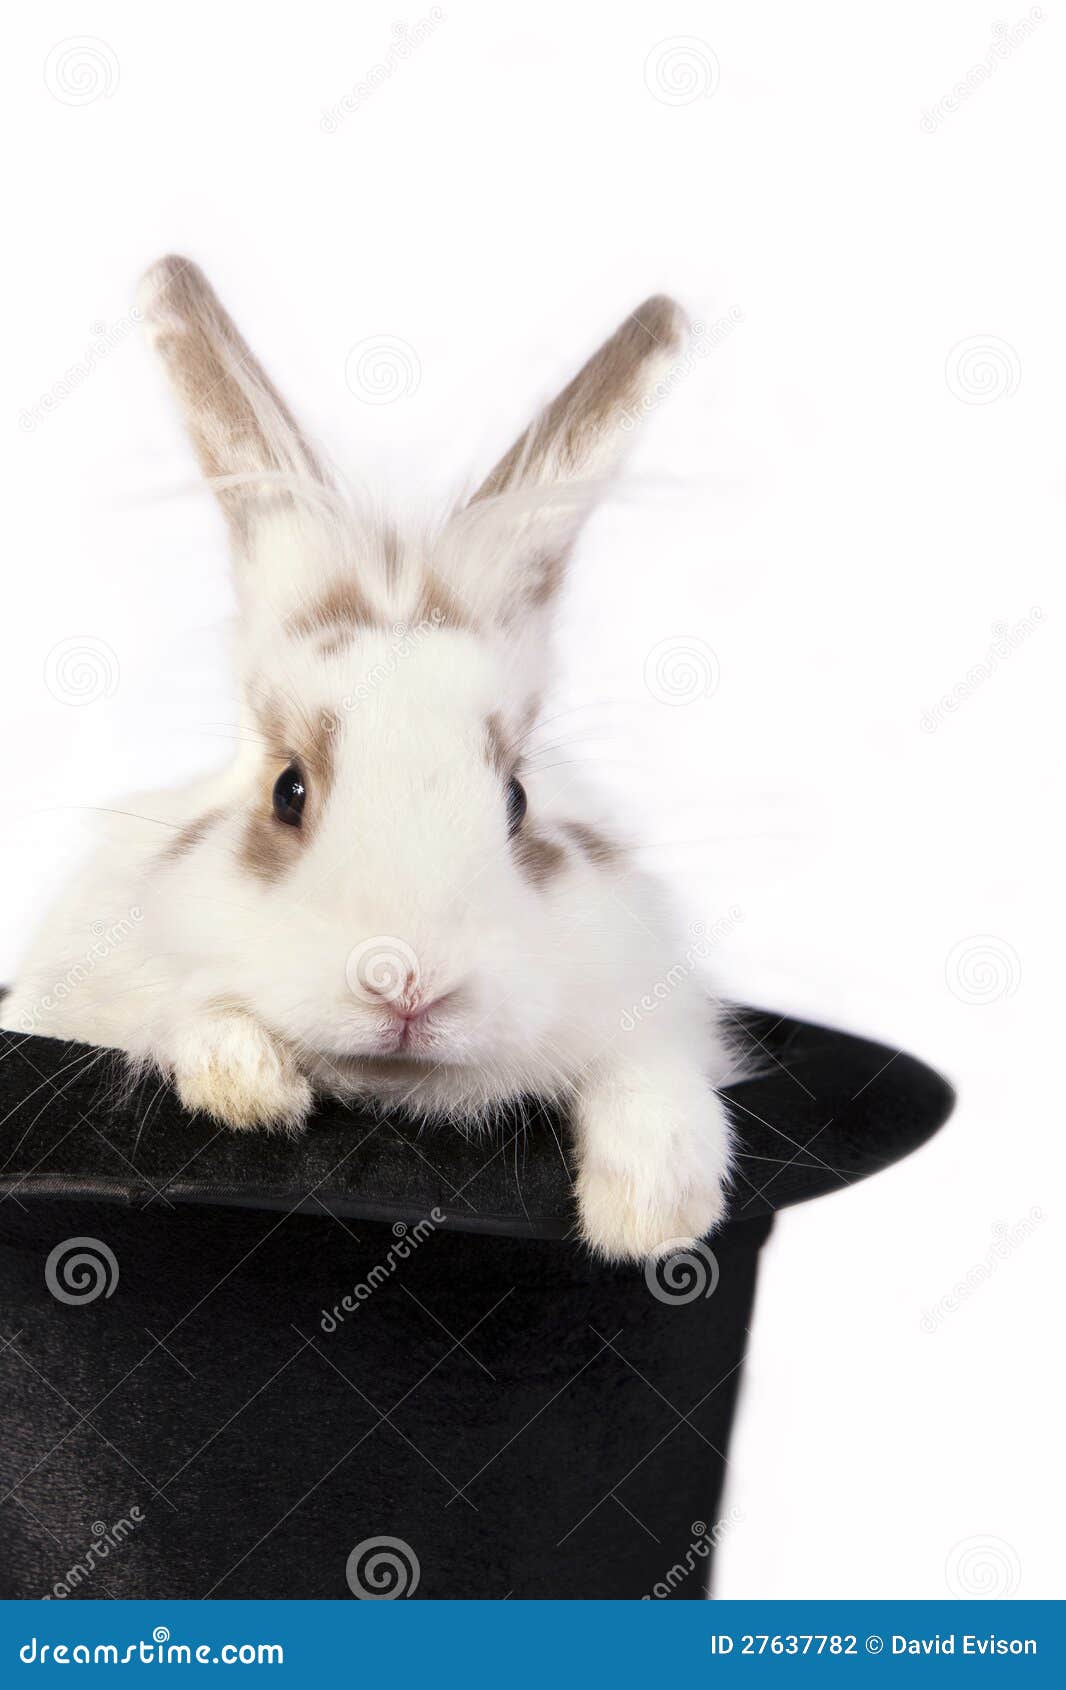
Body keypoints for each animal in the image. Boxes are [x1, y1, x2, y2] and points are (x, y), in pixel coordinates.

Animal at [1, 256, 735, 1262]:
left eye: (516, 799)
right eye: (289, 789)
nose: (407, 984)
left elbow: (653, 1065)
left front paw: (653, 1208)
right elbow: (184, 1007)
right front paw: (248, 1084)